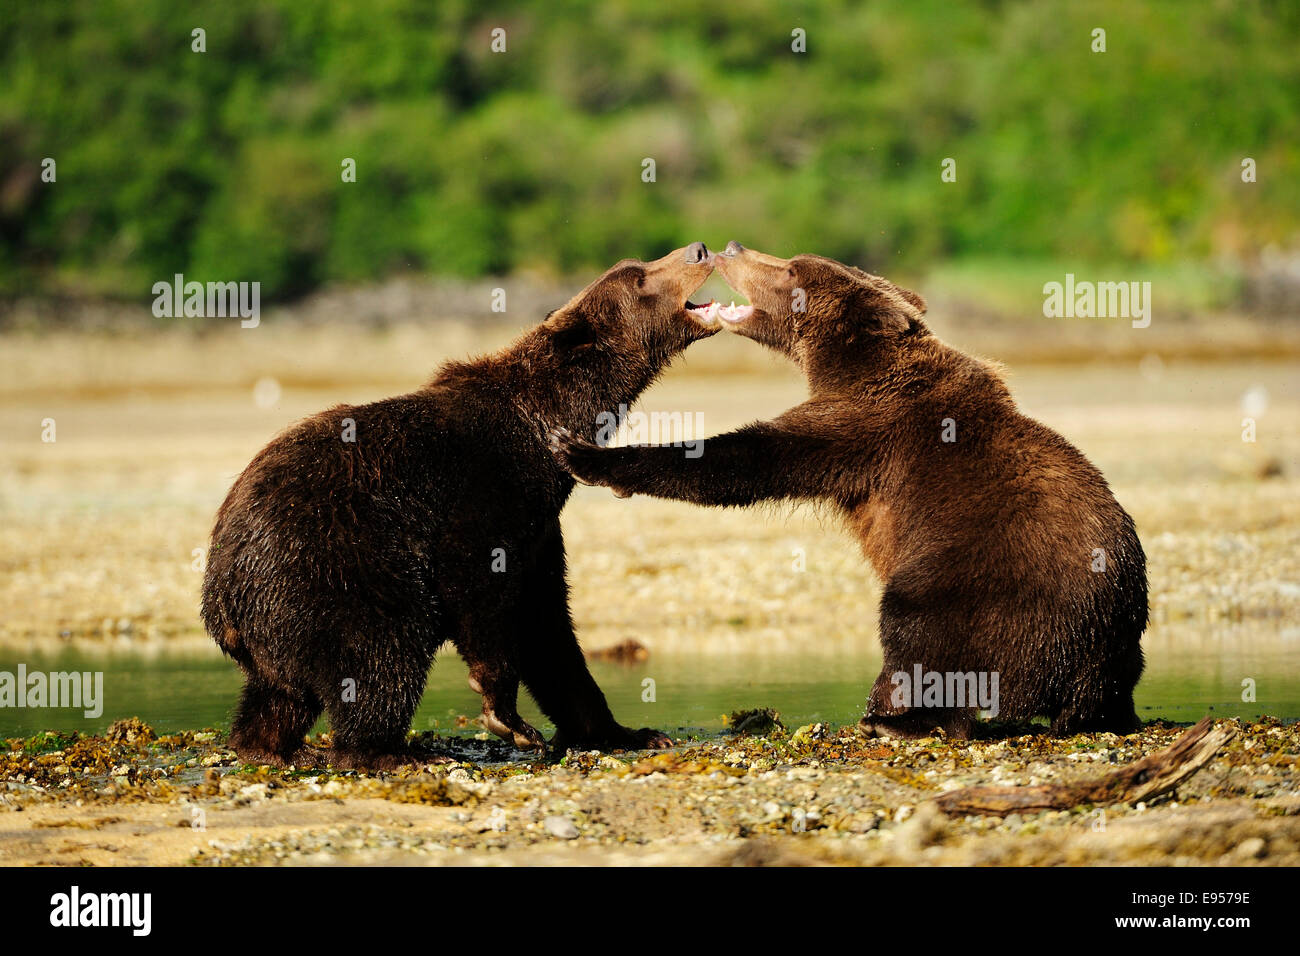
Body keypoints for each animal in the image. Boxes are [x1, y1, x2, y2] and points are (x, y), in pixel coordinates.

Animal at [200, 242, 719, 769]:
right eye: (640, 277)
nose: (698, 250)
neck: (548, 419)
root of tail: (220, 595)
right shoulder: (487, 486)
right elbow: (479, 586)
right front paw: (508, 717)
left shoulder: (542, 522)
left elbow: (548, 622)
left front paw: (629, 731)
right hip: (333, 562)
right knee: (383, 647)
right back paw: (387, 752)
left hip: (280, 616)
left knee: (280, 691)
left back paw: (272, 746)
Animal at [551, 241, 1147, 739]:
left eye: (791, 270)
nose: (733, 246)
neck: (849, 359)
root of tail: (1097, 652)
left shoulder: (865, 427)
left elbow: (748, 458)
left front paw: (585, 454)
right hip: (1109, 644)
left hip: (986, 584)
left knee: (919, 629)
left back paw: (897, 718)